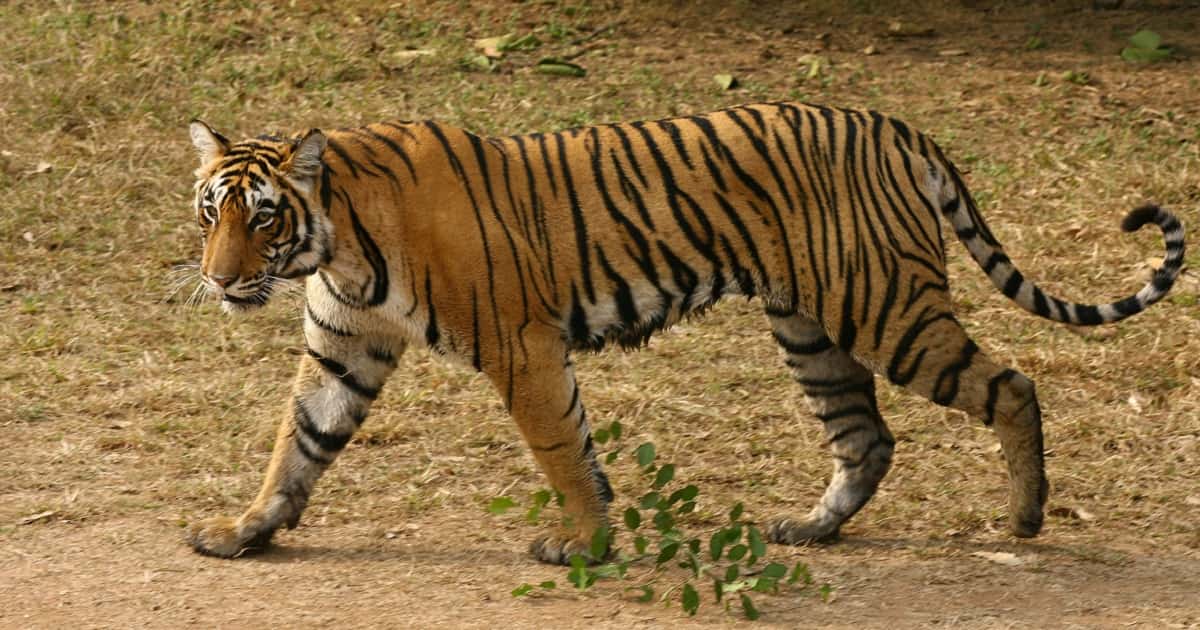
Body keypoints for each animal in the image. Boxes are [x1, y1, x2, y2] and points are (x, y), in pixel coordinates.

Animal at [183, 102, 1184, 564]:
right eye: (210, 211)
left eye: (263, 217)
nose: (221, 279)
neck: (338, 242)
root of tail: (896, 124)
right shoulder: (342, 349)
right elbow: (296, 446)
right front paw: (245, 531)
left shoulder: (522, 347)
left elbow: (562, 449)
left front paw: (584, 545)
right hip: (810, 327)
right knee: (866, 437)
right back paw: (811, 528)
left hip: (888, 309)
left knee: (1012, 385)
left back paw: (1024, 517)